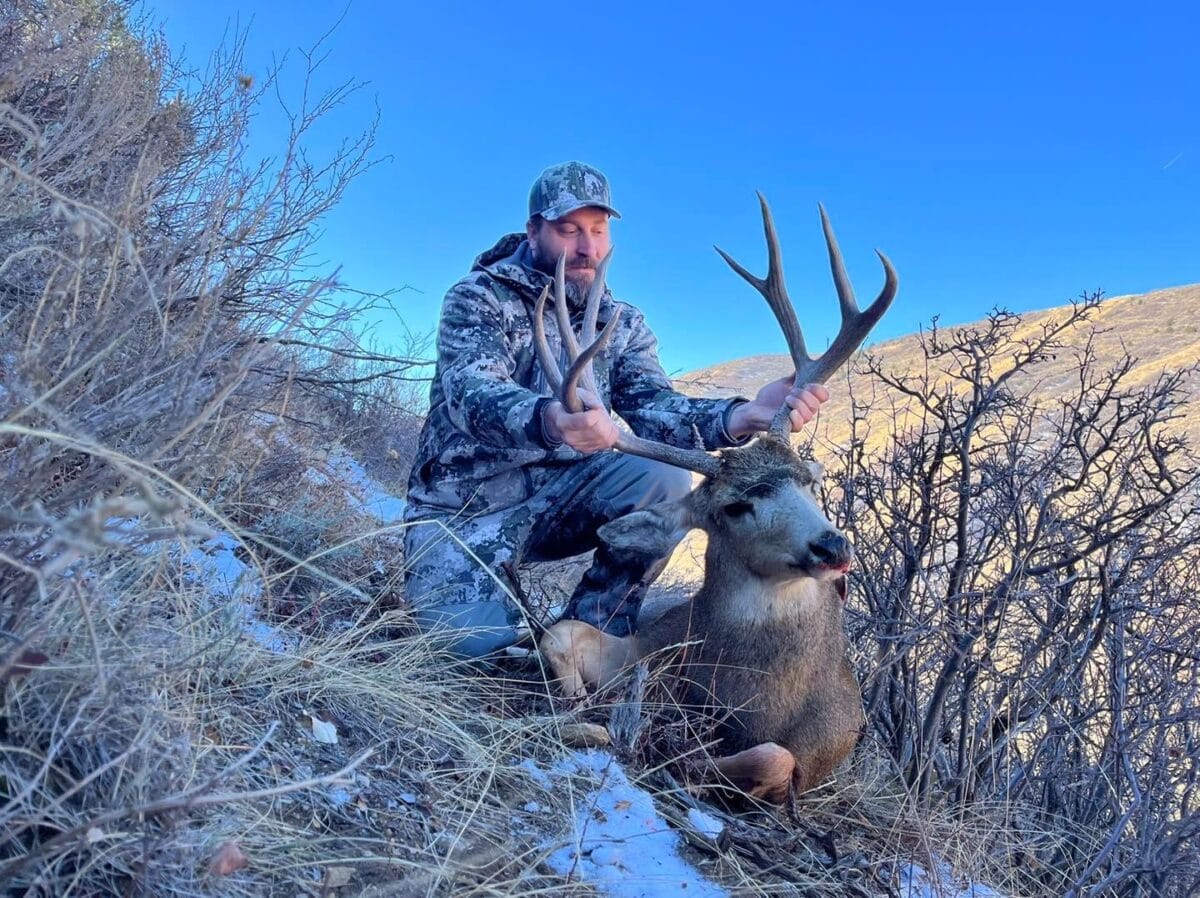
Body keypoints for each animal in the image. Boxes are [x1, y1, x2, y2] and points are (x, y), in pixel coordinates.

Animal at [534, 195, 897, 803]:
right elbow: (559, 633)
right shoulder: (649, 645)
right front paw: (589, 713)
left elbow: (773, 756)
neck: (757, 702)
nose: (832, 546)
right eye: (733, 507)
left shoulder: (824, 756)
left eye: (808, 480)